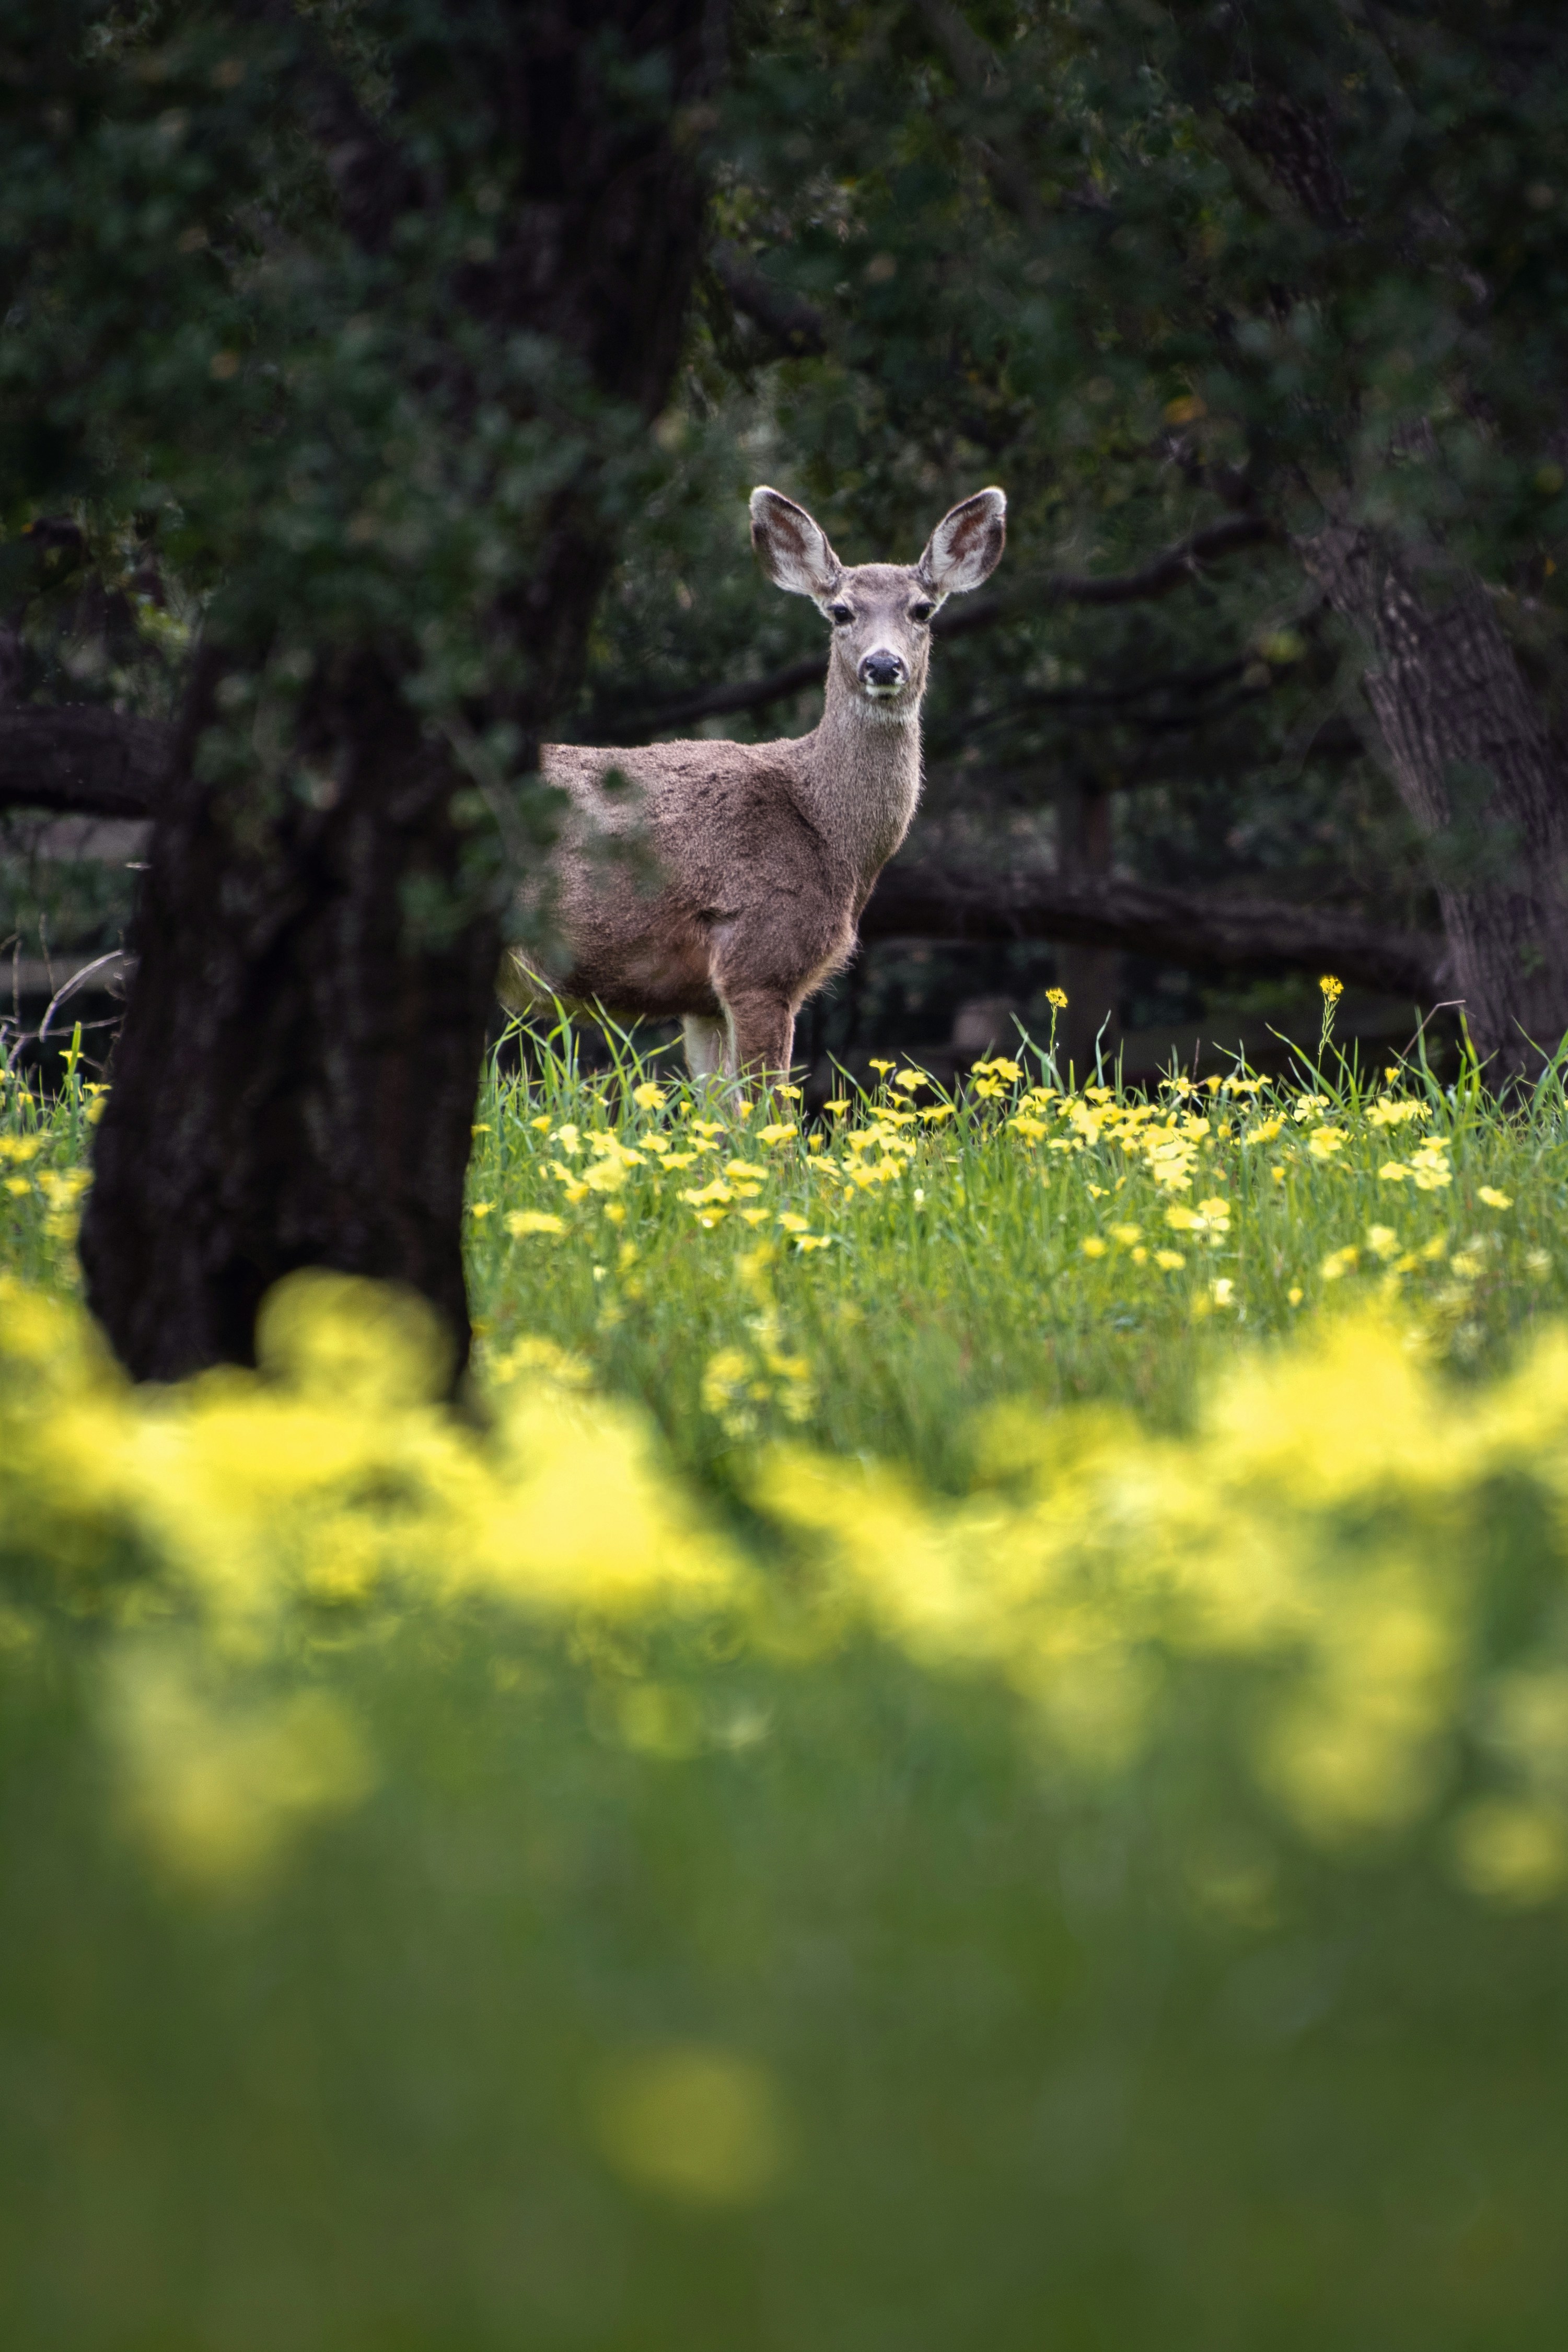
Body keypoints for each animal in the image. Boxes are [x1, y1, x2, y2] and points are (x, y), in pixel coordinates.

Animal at [497, 483, 1007, 1081]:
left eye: (922, 609)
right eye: (840, 611)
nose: (883, 665)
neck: (828, 834)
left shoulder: (701, 1001)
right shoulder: (761, 959)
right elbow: (767, 1102)